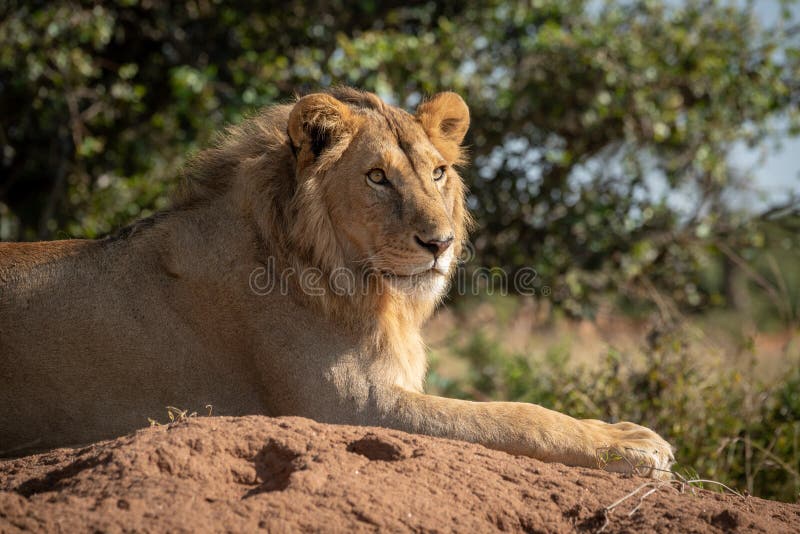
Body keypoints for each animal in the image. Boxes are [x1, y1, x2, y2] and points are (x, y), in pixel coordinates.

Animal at [0, 88, 673, 478]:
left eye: (437, 172)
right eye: (377, 177)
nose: (441, 244)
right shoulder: (344, 407)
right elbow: (510, 417)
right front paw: (632, 444)